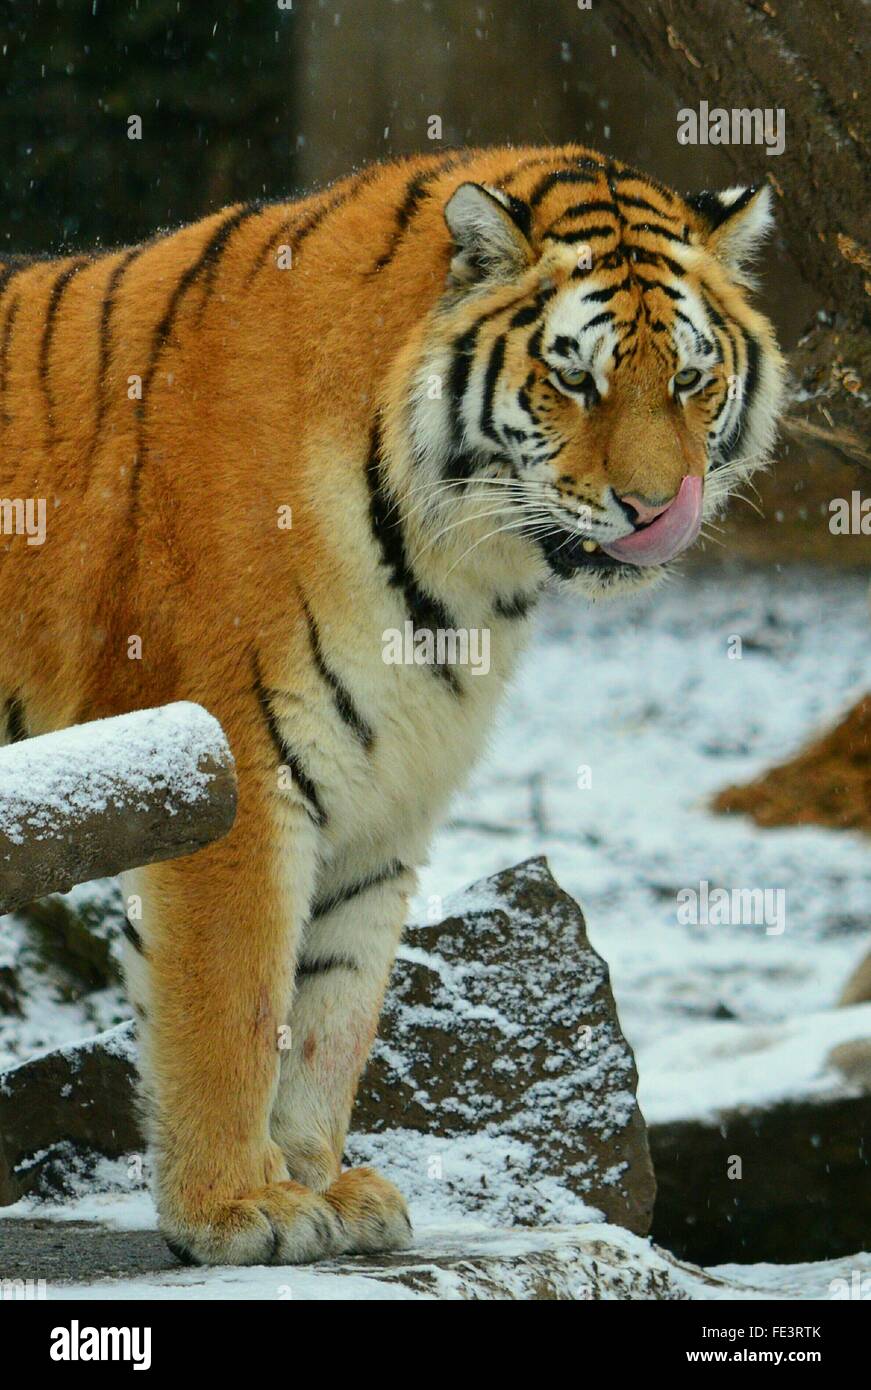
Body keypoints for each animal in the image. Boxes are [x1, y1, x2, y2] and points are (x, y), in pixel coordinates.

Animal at [0, 145, 785, 1265]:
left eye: (687, 378)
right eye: (573, 377)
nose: (656, 510)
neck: (456, 568)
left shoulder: (384, 793)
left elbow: (333, 1008)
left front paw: (317, 1186)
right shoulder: (232, 770)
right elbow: (232, 1005)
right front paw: (231, 1208)